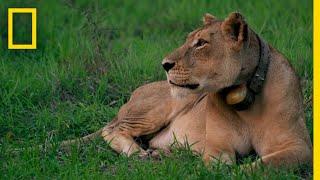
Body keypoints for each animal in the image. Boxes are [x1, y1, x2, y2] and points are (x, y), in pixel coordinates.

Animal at [48, 11, 312, 170]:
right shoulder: (217, 145)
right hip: (158, 107)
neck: (242, 93)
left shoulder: (300, 148)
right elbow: (221, 165)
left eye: (201, 43)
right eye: (188, 40)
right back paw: (138, 154)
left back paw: (161, 154)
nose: (165, 64)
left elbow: (264, 165)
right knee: (112, 129)